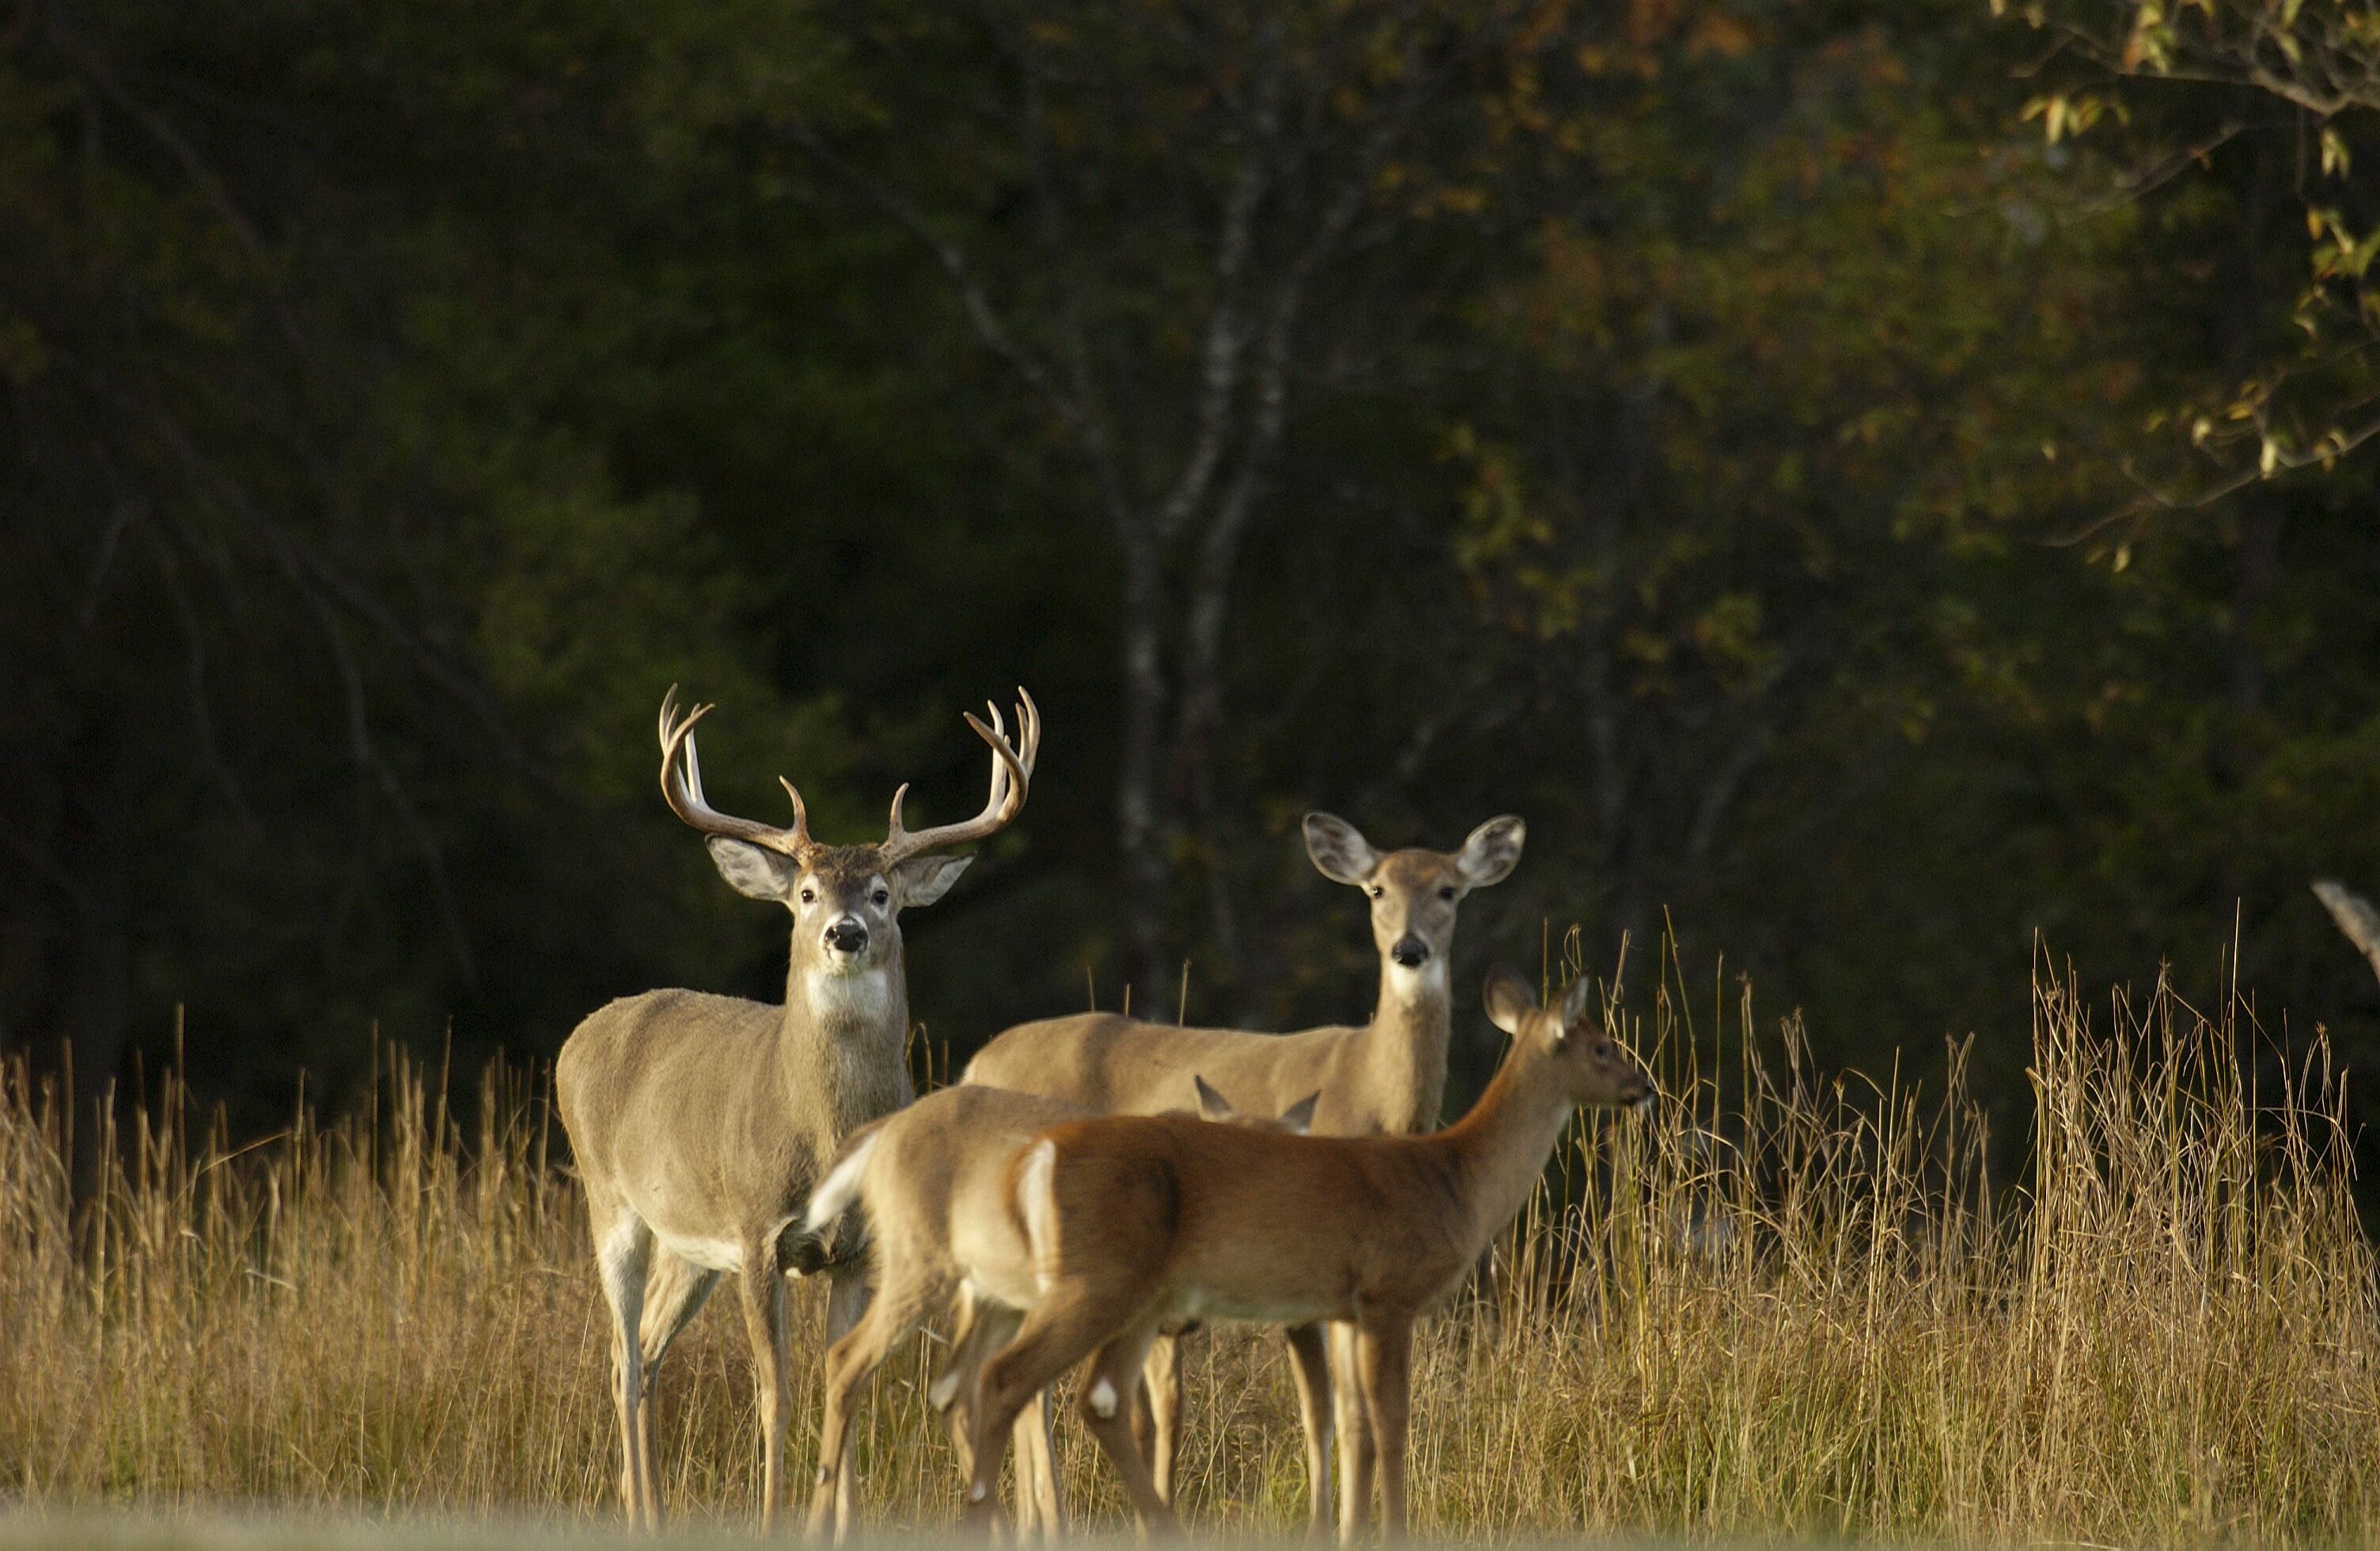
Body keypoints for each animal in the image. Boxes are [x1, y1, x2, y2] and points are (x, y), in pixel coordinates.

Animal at [554, 683, 1039, 1531]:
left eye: (883, 894)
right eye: (806, 893)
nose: (844, 933)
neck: (825, 1135)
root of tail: (577, 1038)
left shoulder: (859, 1253)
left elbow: (847, 1385)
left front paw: (838, 1526)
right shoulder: (757, 1234)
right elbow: (775, 1395)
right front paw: (775, 1515)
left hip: (688, 1247)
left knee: (646, 1349)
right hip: (611, 1206)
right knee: (621, 1362)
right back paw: (640, 1514)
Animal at [797, 1075, 1321, 1542]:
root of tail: (883, 1133)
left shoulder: (1153, 1324)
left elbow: (1160, 1415)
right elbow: (1120, 1418)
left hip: (993, 1295)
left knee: (952, 1389)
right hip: (921, 1262)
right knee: (848, 1358)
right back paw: (818, 1525)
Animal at [959, 810, 1524, 1534]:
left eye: (1449, 889)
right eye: (1376, 889)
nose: (1409, 949)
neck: (1371, 1091)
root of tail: (975, 1064)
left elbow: (1345, 1416)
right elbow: (1330, 1412)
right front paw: (1330, 1528)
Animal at [960, 964, 1653, 1540]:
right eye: (1599, 1046)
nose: (1643, 1085)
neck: (1455, 1176)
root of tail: (1035, 1157)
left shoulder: (1343, 1307)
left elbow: (1352, 1422)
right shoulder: (1388, 1294)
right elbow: (1392, 1422)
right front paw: (1395, 1533)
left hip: (1125, 1295)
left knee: (1076, 1395)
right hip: (1101, 1281)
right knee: (1011, 1378)